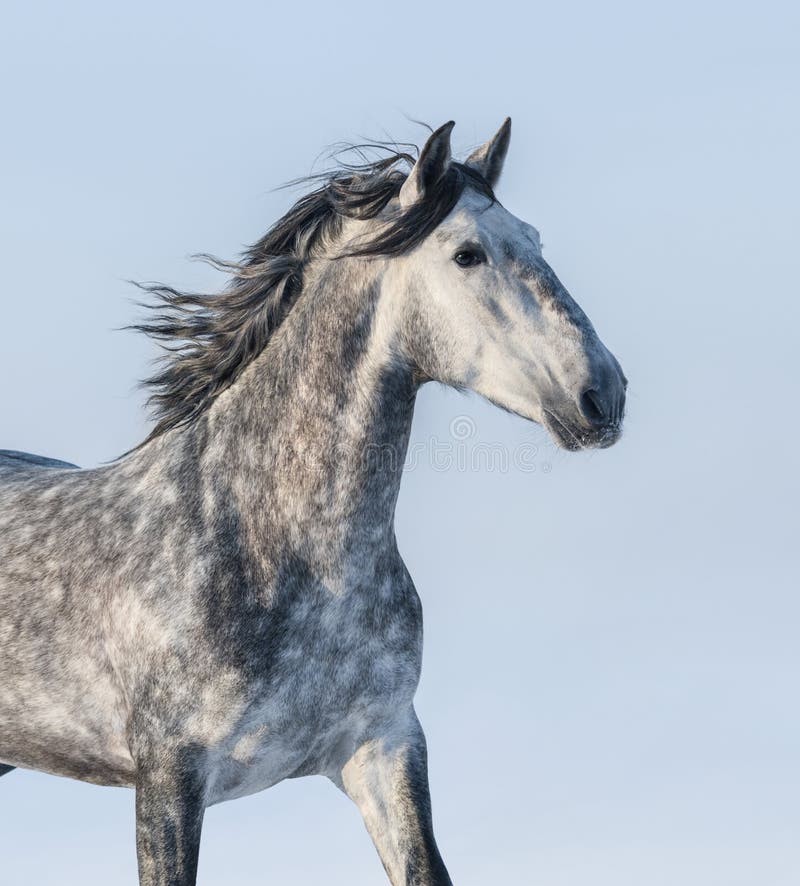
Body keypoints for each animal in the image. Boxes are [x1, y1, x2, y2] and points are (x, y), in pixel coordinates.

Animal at [0, 119, 627, 885]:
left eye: (536, 239)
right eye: (467, 254)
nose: (603, 395)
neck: (276, 548)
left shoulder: (384, 748)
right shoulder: (169, 777)